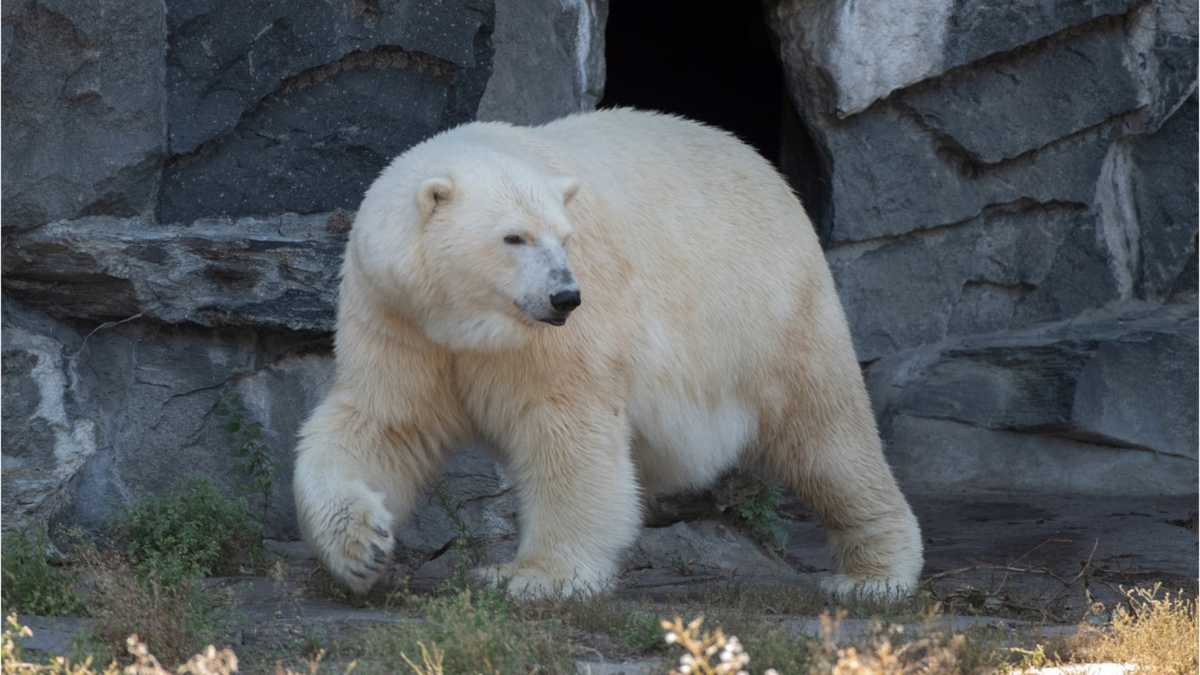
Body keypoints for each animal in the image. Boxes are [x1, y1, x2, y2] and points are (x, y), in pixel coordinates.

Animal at [293, 108, 923, 600]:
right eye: (513, 237)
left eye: (564, 237)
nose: (564, 296)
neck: (468, 323)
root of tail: (768, 171)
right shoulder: (398, 317)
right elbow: (384, 424)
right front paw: (362, 549)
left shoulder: (557, 336)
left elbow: (566, 429)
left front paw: (533, 576)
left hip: (769, 310)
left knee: (826, 433)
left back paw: (871, 576)